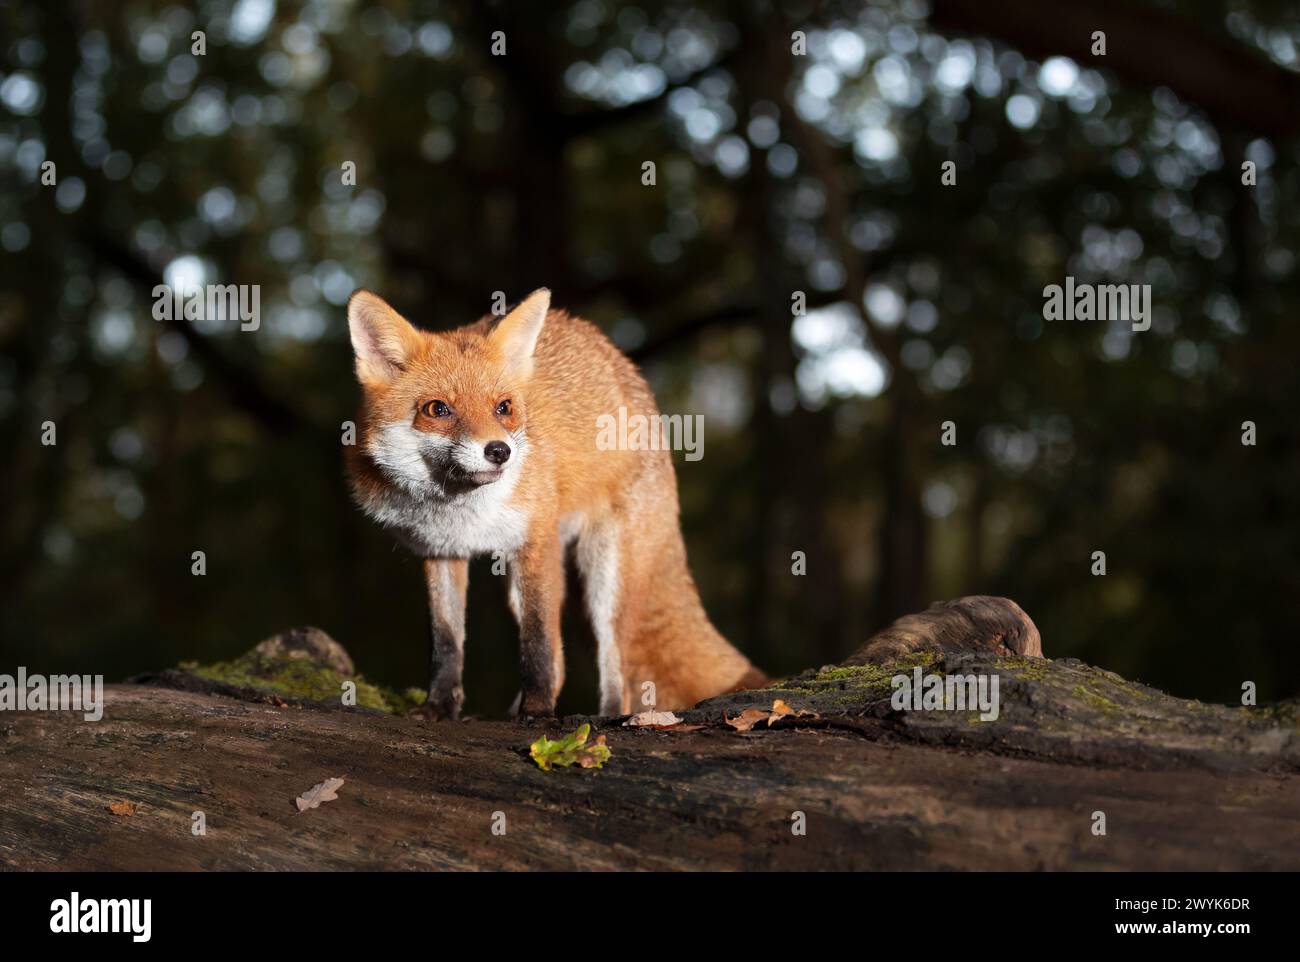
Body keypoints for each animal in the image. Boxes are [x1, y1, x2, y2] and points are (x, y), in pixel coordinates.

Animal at [344, 287, 766, 720]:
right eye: (437, 409)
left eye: (504, 407)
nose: (500, 451)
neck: (461, 512)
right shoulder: (442, 552)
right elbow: (446, 643)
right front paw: (439, 707)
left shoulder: (536, 541)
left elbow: (538, 642)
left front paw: (537, 711)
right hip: (522, 582)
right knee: (564, 661)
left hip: (605, 577)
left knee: (614, 667)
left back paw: (606, 716)